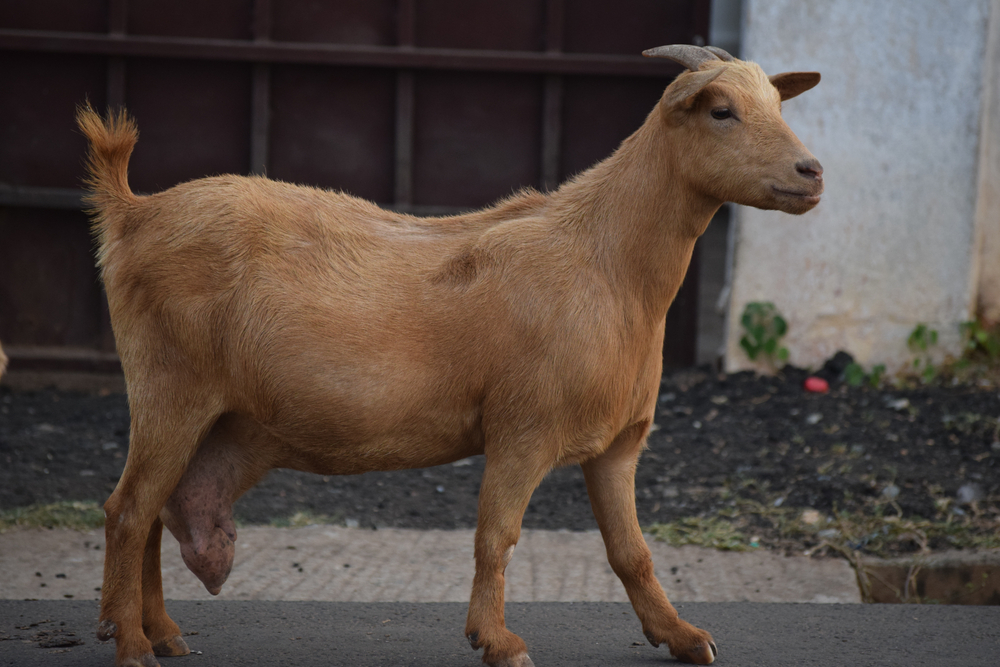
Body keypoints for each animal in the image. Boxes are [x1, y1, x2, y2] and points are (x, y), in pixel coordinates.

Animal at [77, 44, 822, 667]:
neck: (607, 264)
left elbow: (631, 552)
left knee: (154, 513)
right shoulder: (522, 429)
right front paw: (497, 641)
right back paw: (133, 644)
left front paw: (683, 636)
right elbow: (496, 537)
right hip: (169, 387)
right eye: (722, 111)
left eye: (778, 104)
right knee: (127, 511)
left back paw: (163, 633)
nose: (811, 172)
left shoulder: (618, 445)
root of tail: (132, 211)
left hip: (203, 411)